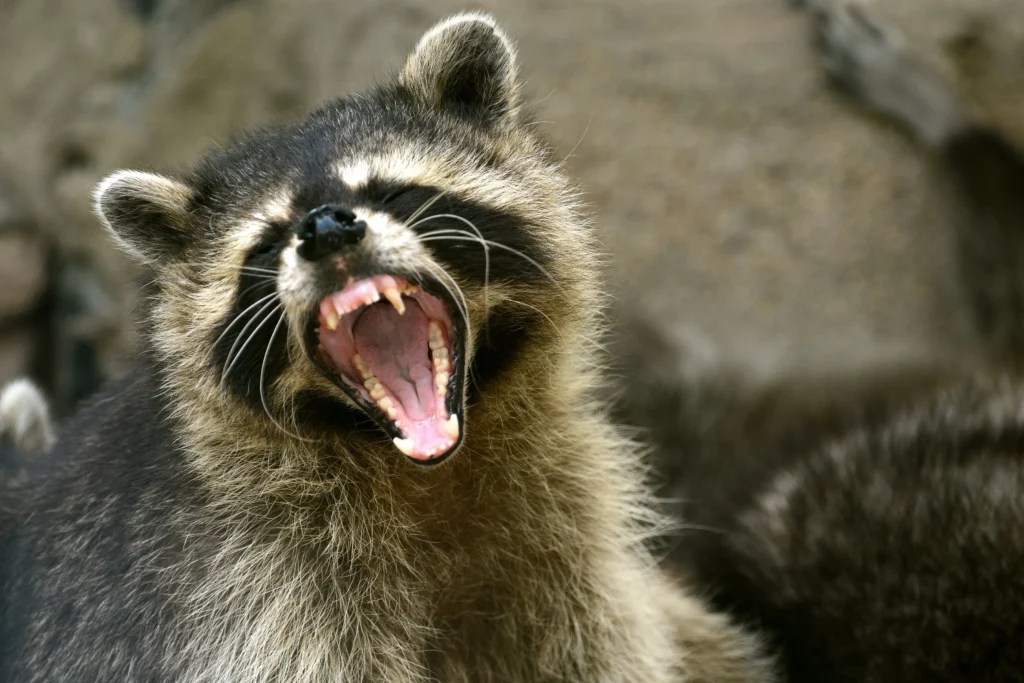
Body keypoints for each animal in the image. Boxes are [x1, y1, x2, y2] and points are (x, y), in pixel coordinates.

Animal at [0, 13, 772, 683]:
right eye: (268, 242)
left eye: (391, 192)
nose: (325, 229)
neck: (424, 470)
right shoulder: (244, 595)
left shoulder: (570, 542)